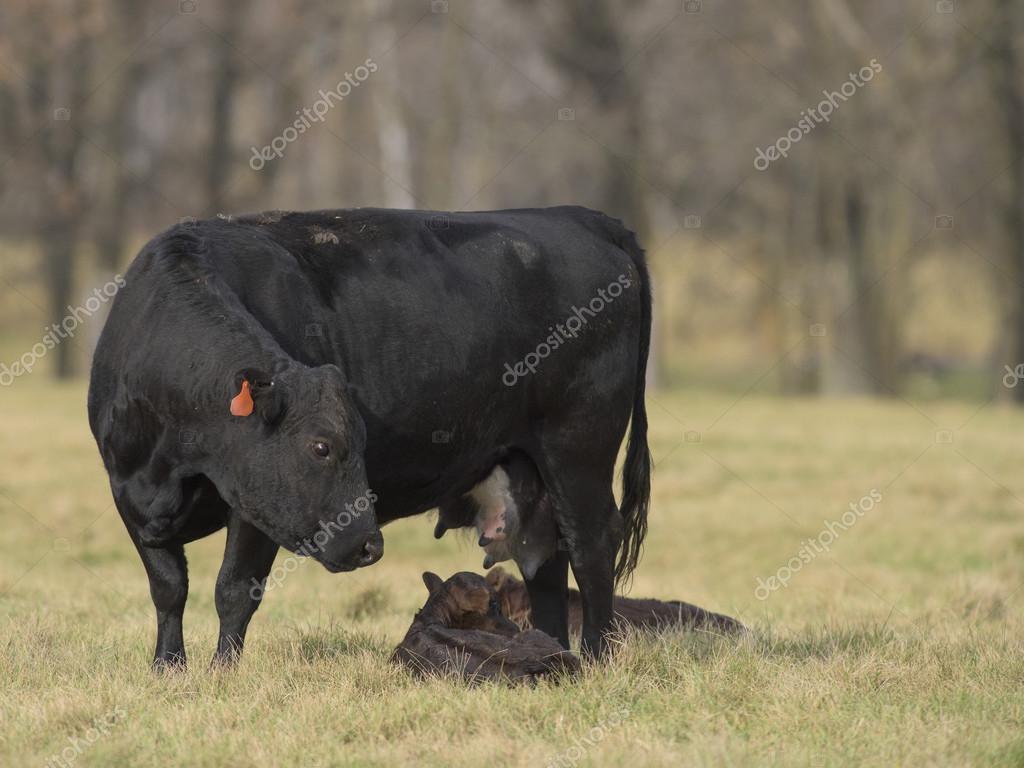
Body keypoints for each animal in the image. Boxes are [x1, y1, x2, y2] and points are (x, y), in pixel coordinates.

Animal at [87, 206, 651, 669]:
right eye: (321, 446)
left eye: (360, 446)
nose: (369, 545)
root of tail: (579, 215)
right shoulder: (126, 494)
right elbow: (169, 588)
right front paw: (167, 667)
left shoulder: (252, 507)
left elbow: (233, 589)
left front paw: (222, 672)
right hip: (533, 470)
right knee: (547, 561)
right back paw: (554, 648)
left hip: (577, 450)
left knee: (590, 544)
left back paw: (597, 658)